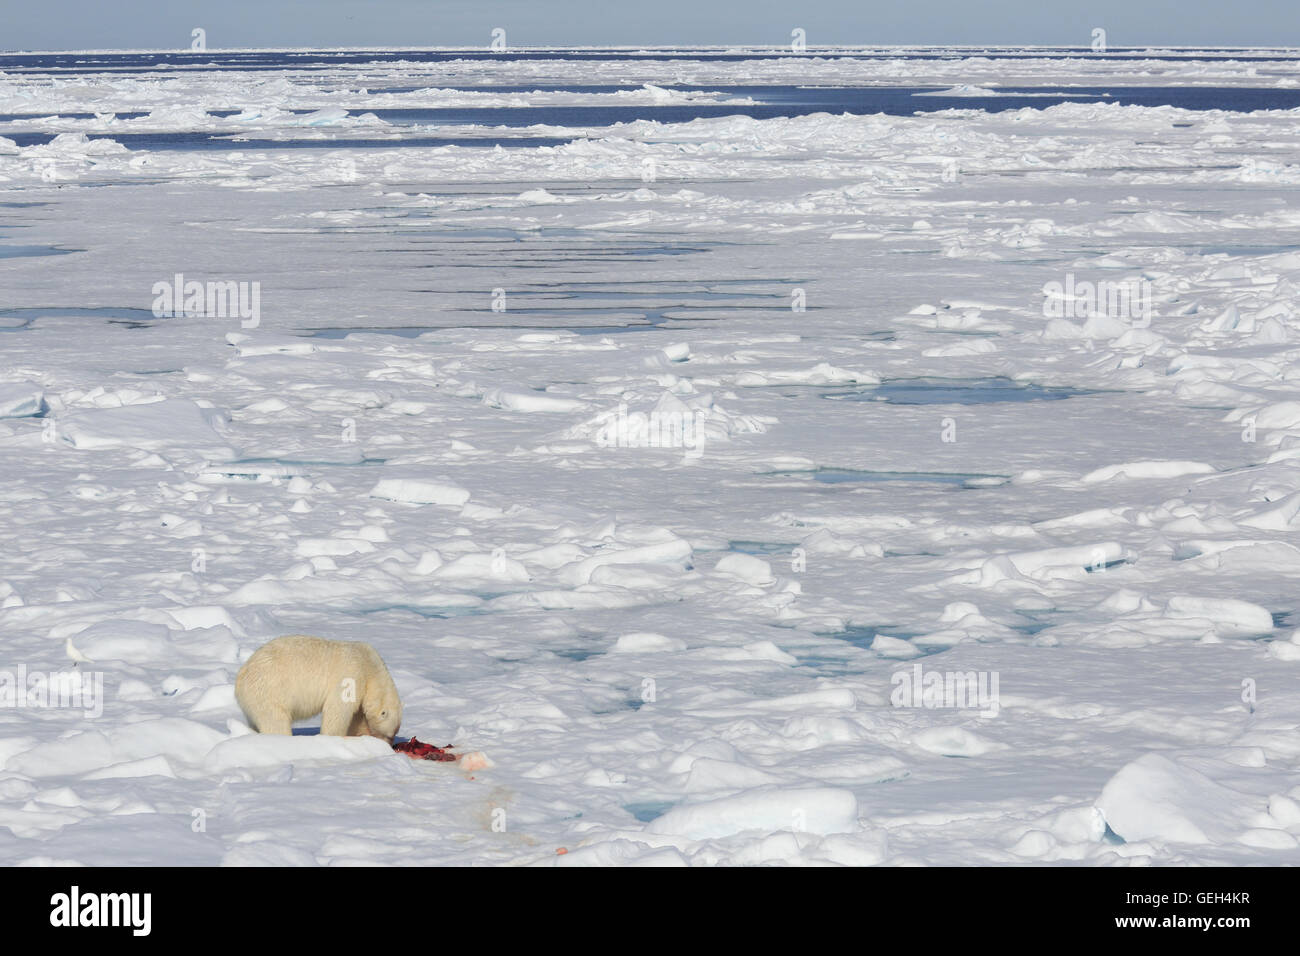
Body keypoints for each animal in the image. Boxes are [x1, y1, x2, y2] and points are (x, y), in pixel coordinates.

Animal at [235, 635, 403, 744]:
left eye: (394, 734)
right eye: (389, 735)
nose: (390, 745)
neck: (370, 665)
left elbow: (358, 717)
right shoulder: (352, 675)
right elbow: (337, 710)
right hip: (269, 692)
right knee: (275, 722)